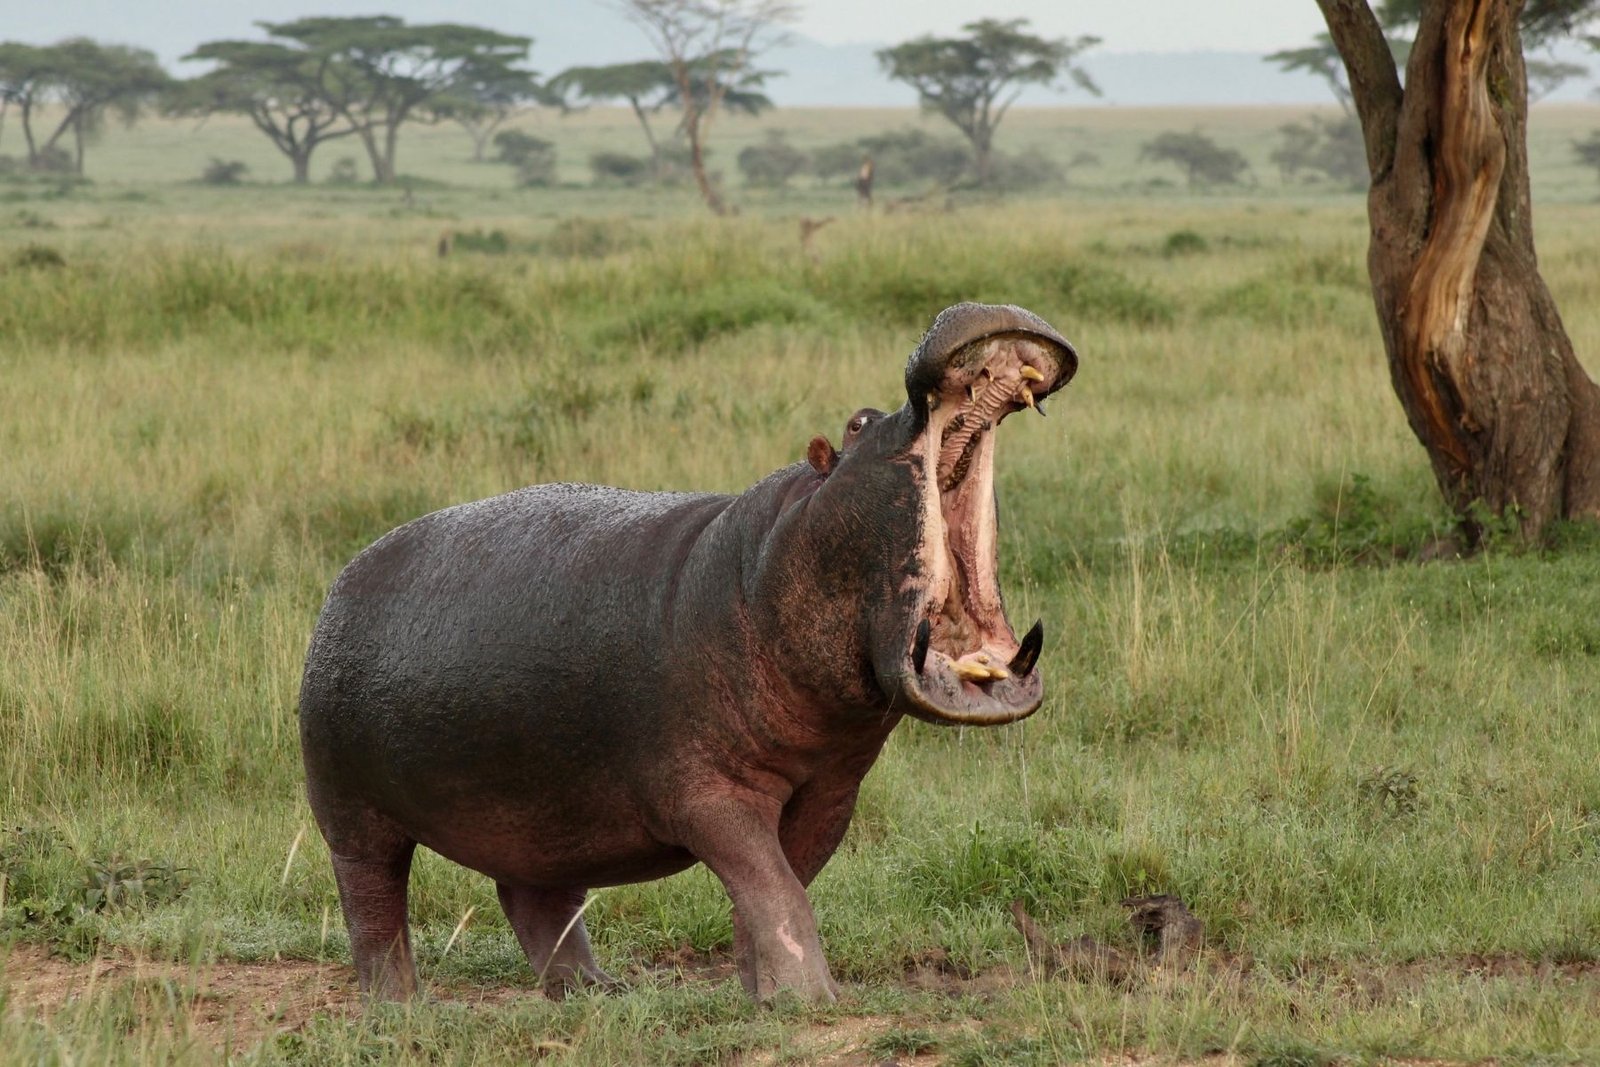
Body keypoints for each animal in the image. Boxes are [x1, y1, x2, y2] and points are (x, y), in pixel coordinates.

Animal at [298, 302, 1079, 1003]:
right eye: (858, 422)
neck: (762, 568)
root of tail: (340, 584)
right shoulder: (707, 793)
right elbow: (774, 888)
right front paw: (814, 1001)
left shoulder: (830, 791)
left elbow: (775, 887)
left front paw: (765, 996)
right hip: (352, 814)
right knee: (374, 906)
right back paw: (398, 1007)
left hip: (539, 812)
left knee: (539, 901)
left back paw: (597, 994)